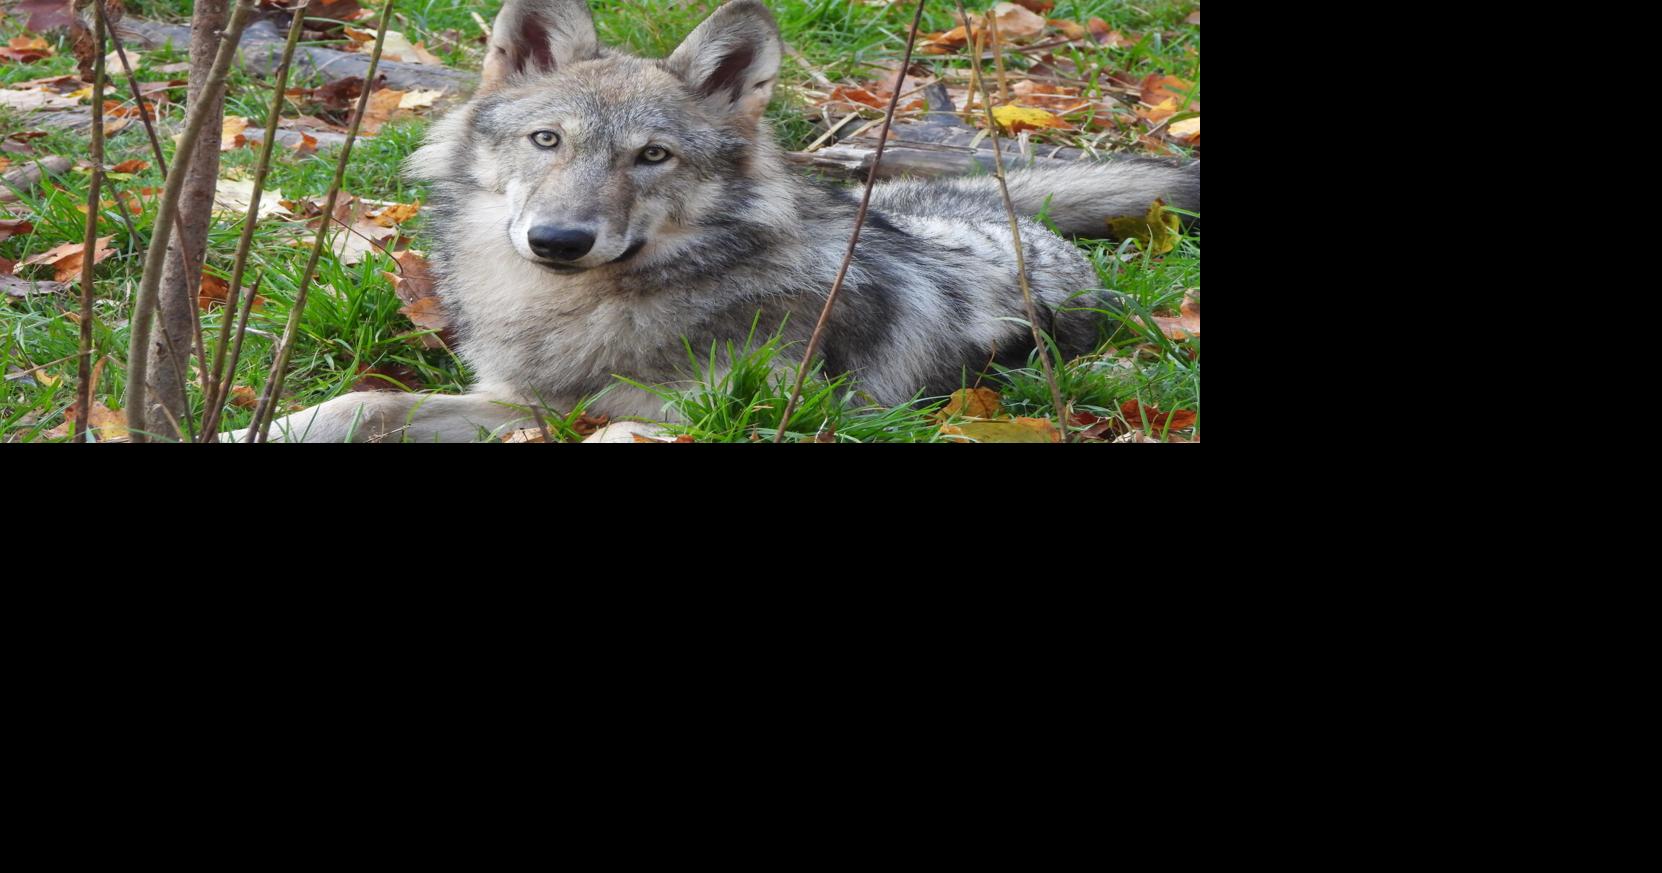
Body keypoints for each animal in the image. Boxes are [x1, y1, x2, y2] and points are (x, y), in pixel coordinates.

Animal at [233, 0, 1199, 442]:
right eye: (549, 139)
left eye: (652, 156)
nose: (559, 241)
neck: (590, 314)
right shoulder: (518, 398)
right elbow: (363, 401)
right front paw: (249, 427)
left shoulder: (711, 419)